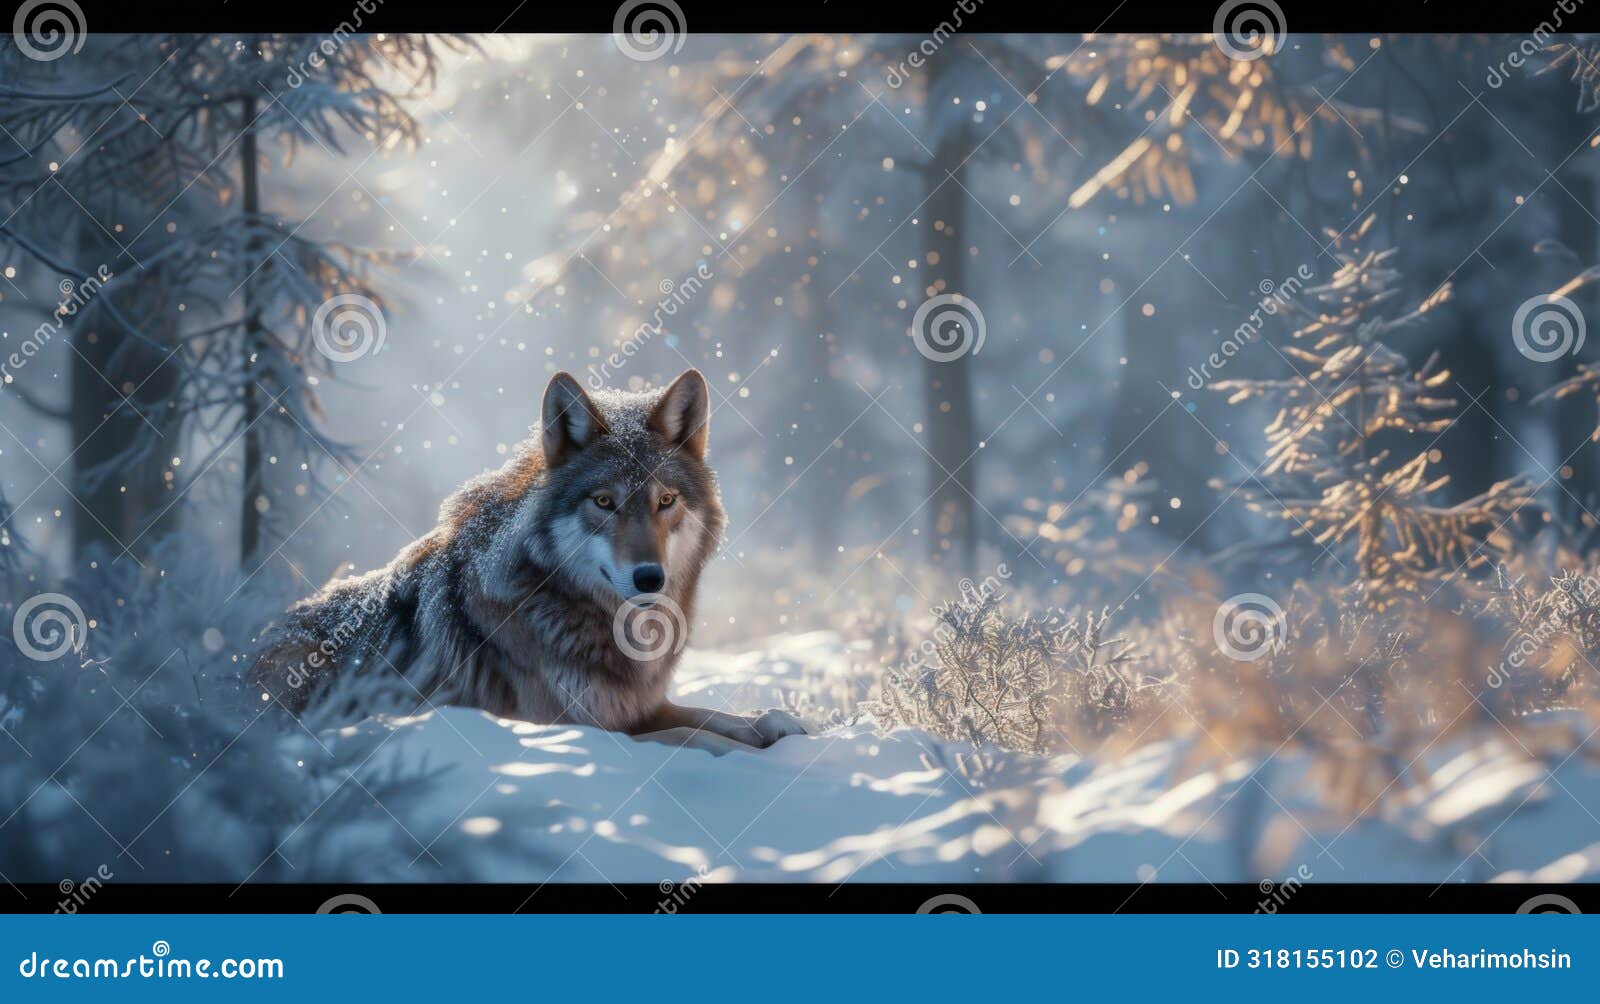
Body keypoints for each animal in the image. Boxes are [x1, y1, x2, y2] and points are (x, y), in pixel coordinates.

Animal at [248, 368, 805, 755]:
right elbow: (696, 736)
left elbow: (713, 715)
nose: (650, 578)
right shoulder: (582, 726)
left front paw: (774, 720)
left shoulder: (636, 705)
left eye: (665, 501)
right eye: (604, 502)